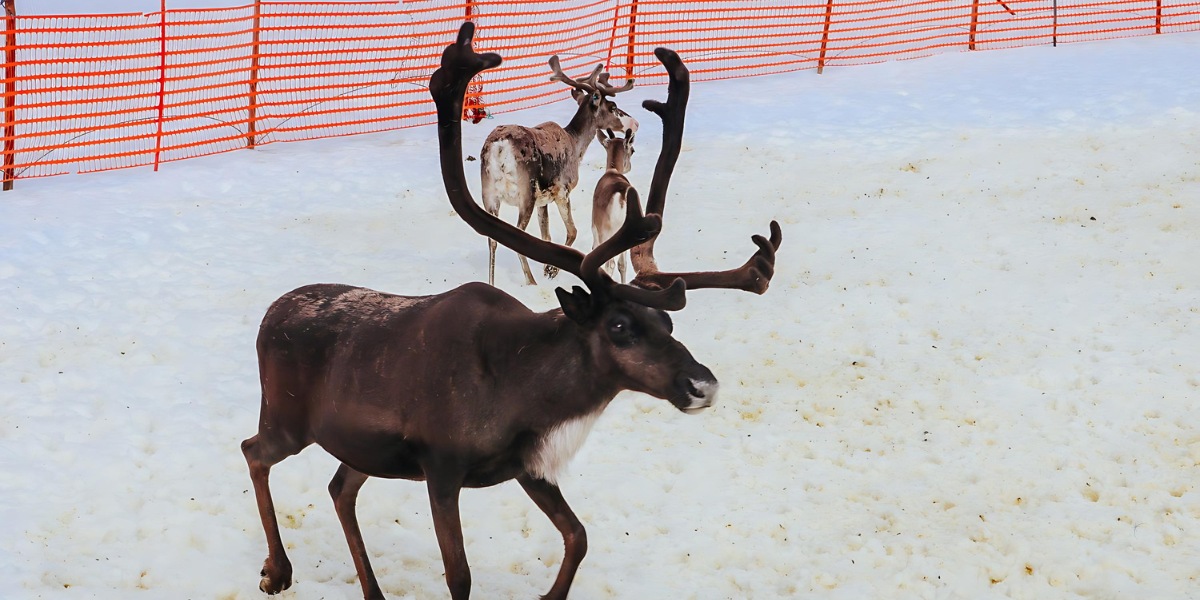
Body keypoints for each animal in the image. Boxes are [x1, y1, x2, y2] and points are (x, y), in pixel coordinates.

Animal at [591, 128, 635, 283]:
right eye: (632, 150)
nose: (629, 167)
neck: (612, 171)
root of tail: (621, 199)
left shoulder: (594, 227)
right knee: (621, 263)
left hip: (607, 233)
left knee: (609, 264)